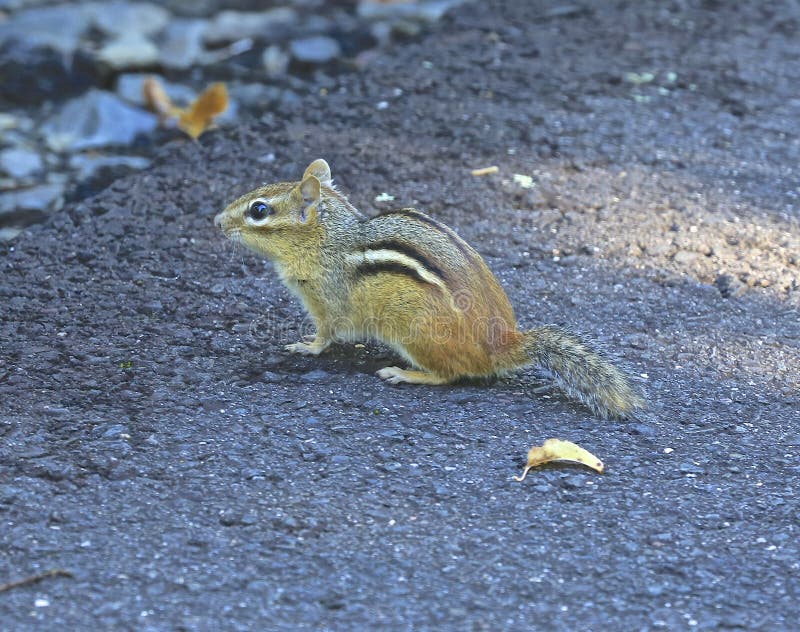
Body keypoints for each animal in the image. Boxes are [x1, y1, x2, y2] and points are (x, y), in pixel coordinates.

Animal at [214, 159, 644, 419]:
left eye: (258, 210)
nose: (217, 221)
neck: (329, 240)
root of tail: (501, 343)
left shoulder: (326, 300)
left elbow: (327, 333)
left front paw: (307, 347)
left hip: (415, 332)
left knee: (451, 375)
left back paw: (404, 374)